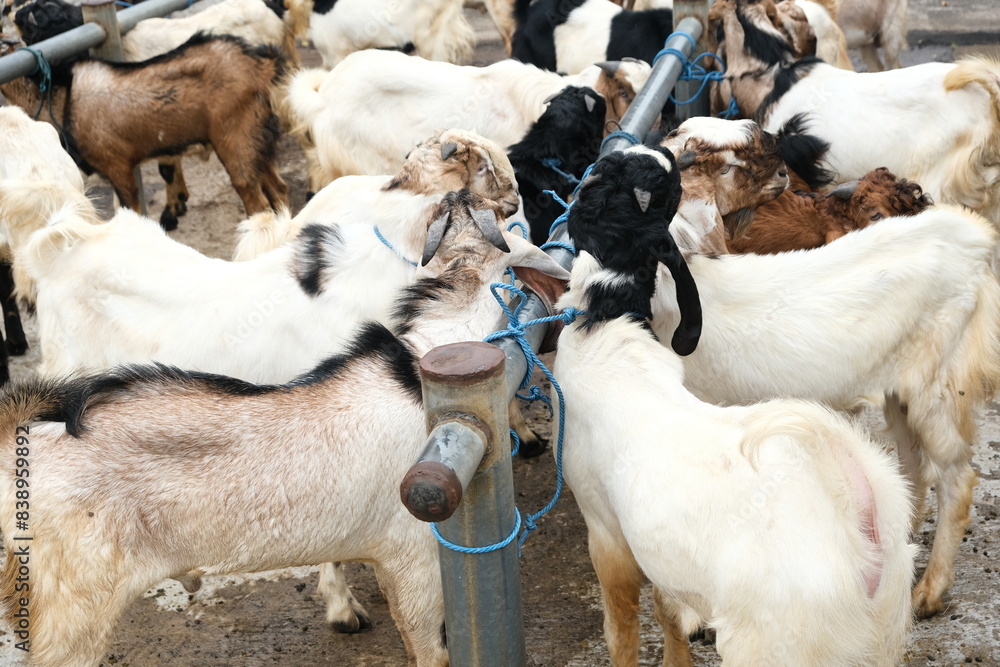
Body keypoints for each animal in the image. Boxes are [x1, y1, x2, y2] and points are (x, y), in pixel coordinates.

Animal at [10, 0, 303, 230]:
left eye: (40, 24)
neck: (66, 97)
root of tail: (261, 64)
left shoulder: (117, 165)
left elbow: (133, 205)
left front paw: (170, 214)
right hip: (257, 140)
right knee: (278, 189)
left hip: (236, 140)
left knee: (257, 201)